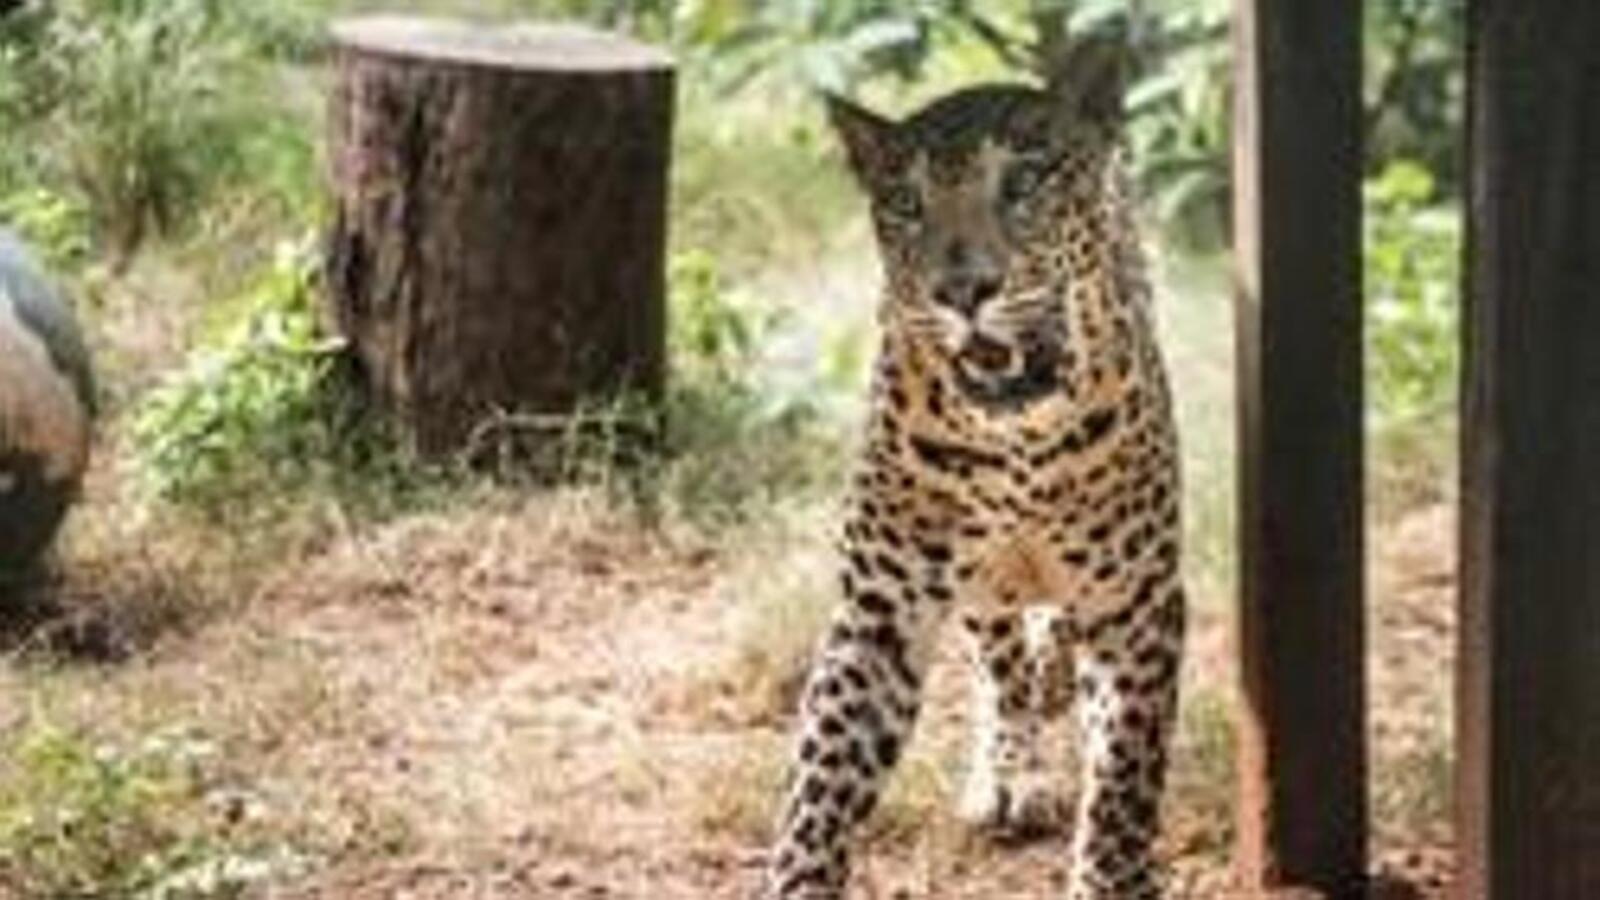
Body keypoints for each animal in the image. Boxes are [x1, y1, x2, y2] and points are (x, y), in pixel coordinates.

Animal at [761, 50, 1186, 900]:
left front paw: (1112, 872)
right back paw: (1010, 770)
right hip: (983, 590)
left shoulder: (1138, 609)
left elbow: (1122, 787)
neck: (1018, 441)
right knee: (1003, 663)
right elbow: (818, 788)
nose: (962, 292)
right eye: (905, 205)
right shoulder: (878, 616)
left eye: (1023, 181)